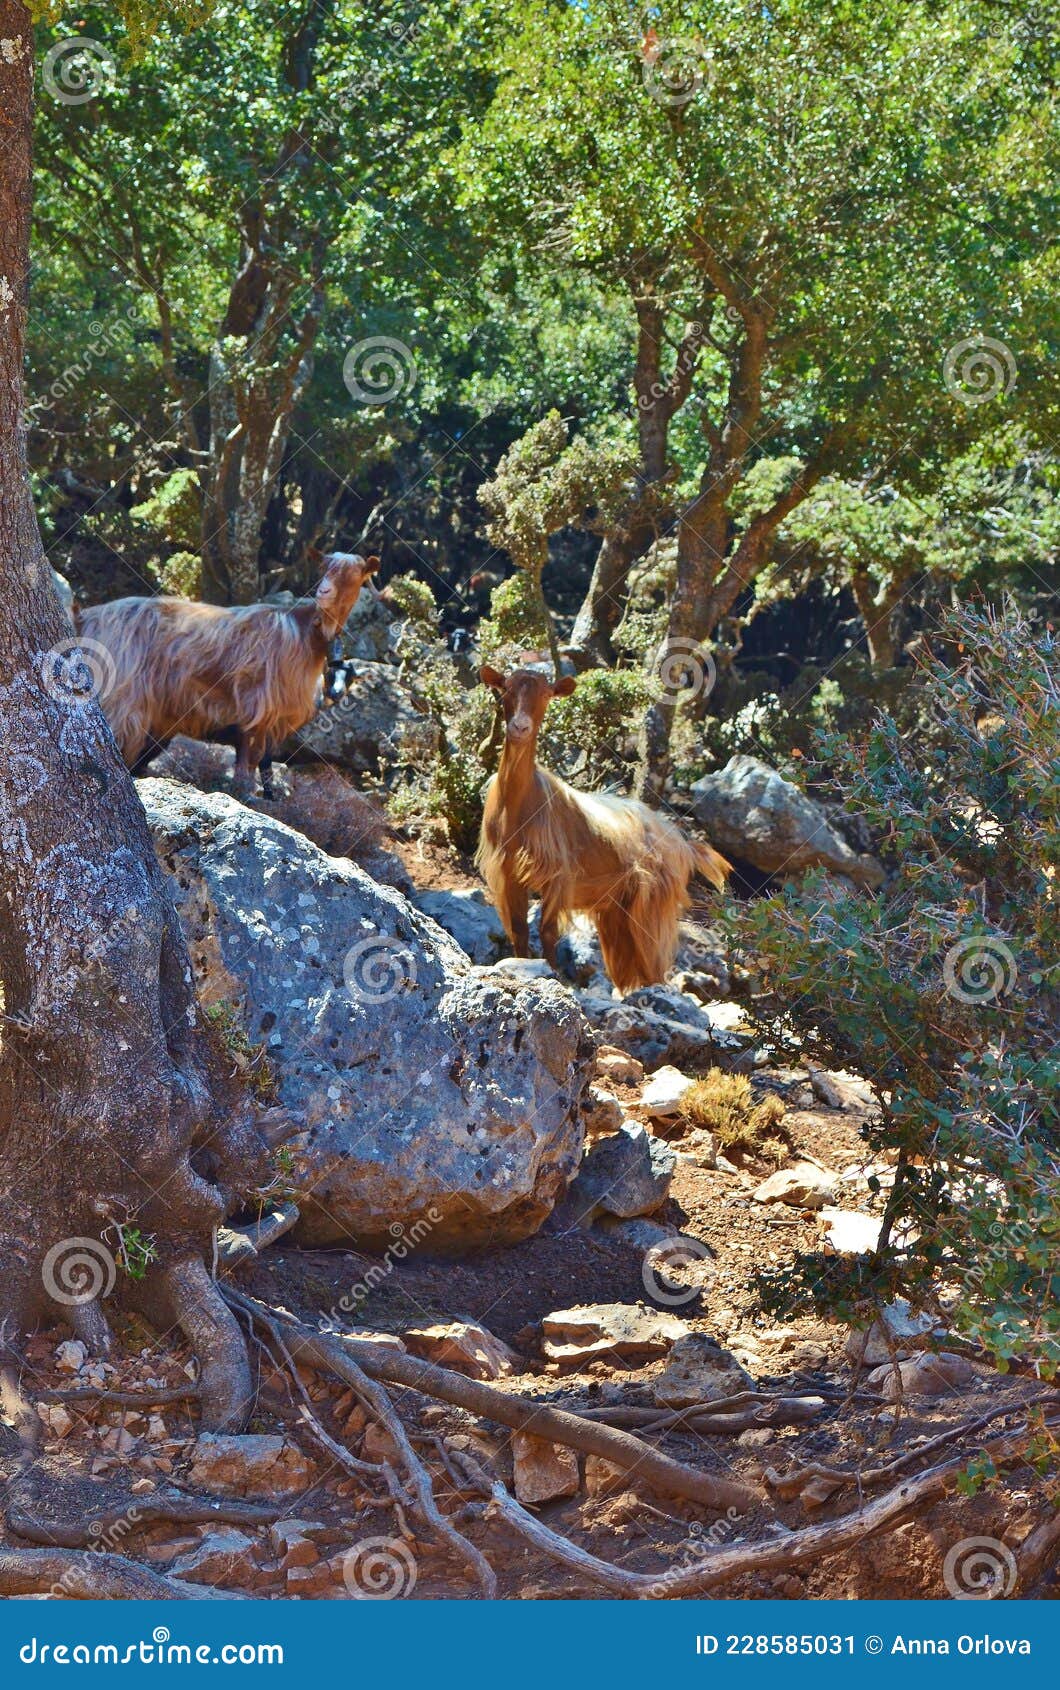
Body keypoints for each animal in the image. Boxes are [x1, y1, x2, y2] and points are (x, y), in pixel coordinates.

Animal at [74, 553, 378, 796]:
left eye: (354, 575)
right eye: (324, 567)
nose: (323, 592)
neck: (303, 630)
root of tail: (87, 616)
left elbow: (262, 762)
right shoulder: (258, 707)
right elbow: (250, 759)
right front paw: (245, 794)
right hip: (122, 694)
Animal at [476, 665, 731, 993]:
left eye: (546, 695)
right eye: (505, 689)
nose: (519, 727)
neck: (520, 806)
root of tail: (683, 843)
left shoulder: (559, 876)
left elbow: (547, 931)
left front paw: (554, 975)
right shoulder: (508, 874)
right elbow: (520, 932)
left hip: (652, 907)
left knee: (655, 967)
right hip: (617, 913)